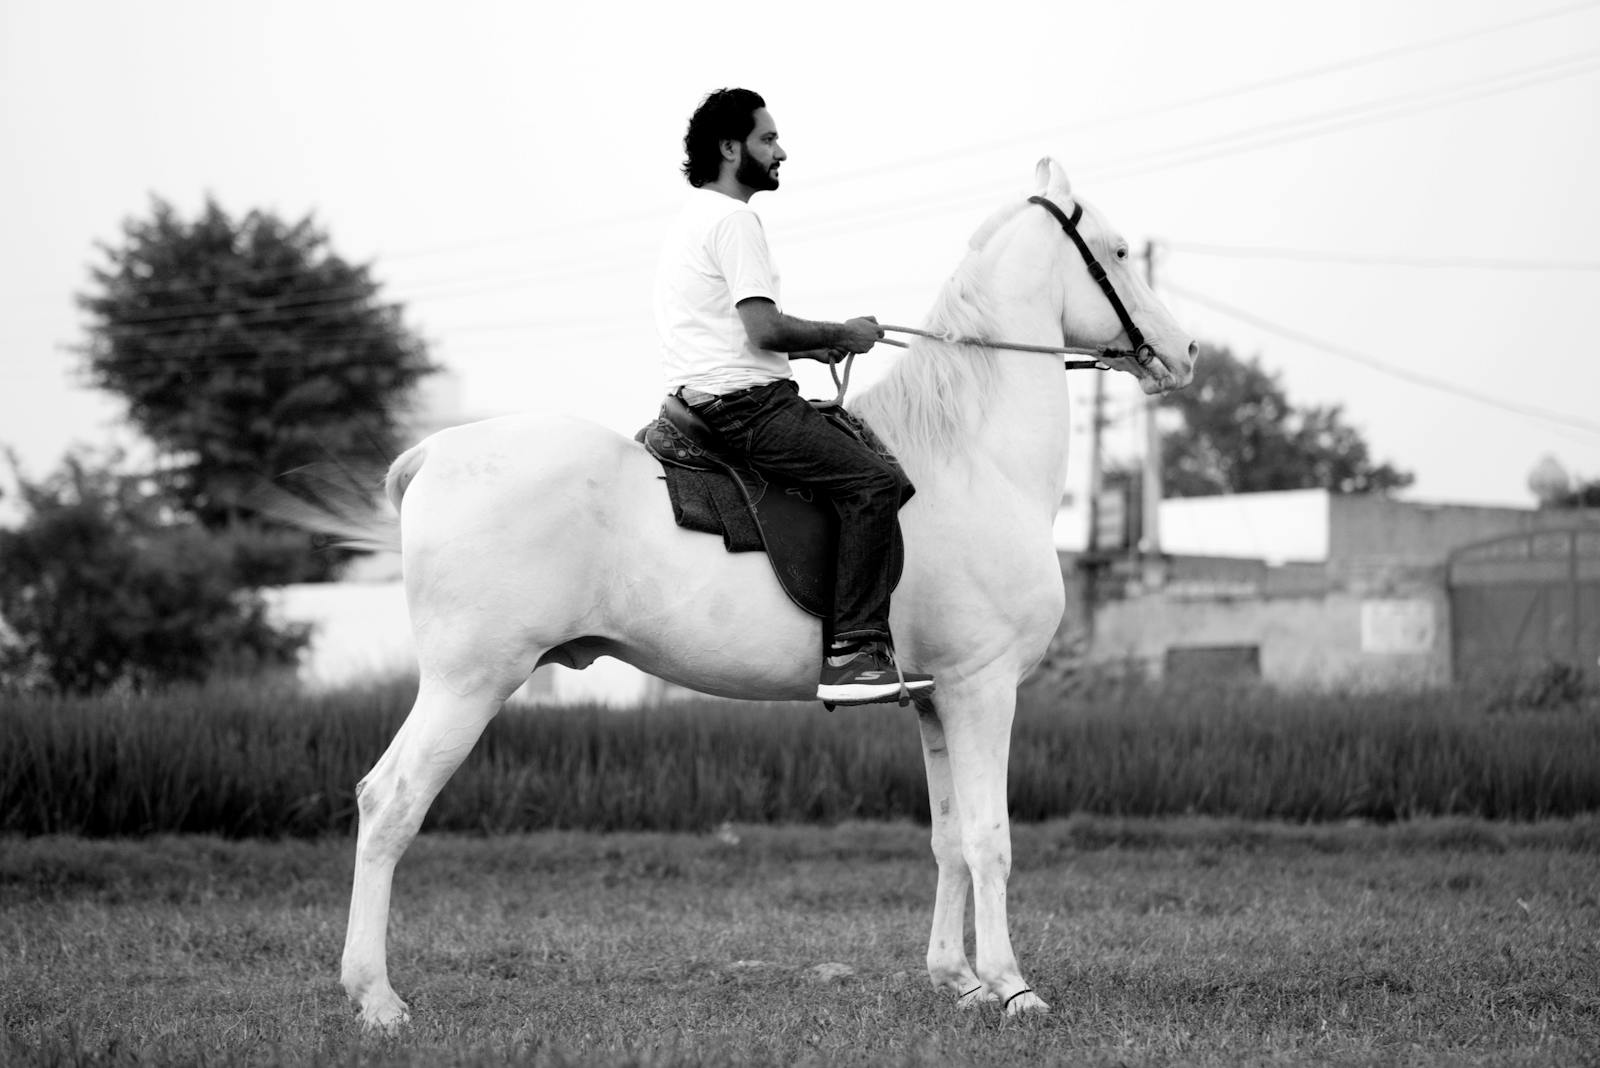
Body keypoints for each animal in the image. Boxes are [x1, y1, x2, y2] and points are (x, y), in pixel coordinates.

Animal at [337, 157, 1197, 1030]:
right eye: (1119, 252)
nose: (1185, 350)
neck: (970, 456)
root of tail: (436, 454)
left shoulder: (937, 700)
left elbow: (948, 838)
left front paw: (957, 978)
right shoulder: (982, 689)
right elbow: (991, 840)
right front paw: (1013, 988)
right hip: (469, 683)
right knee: (391, 803)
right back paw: (376, 998)